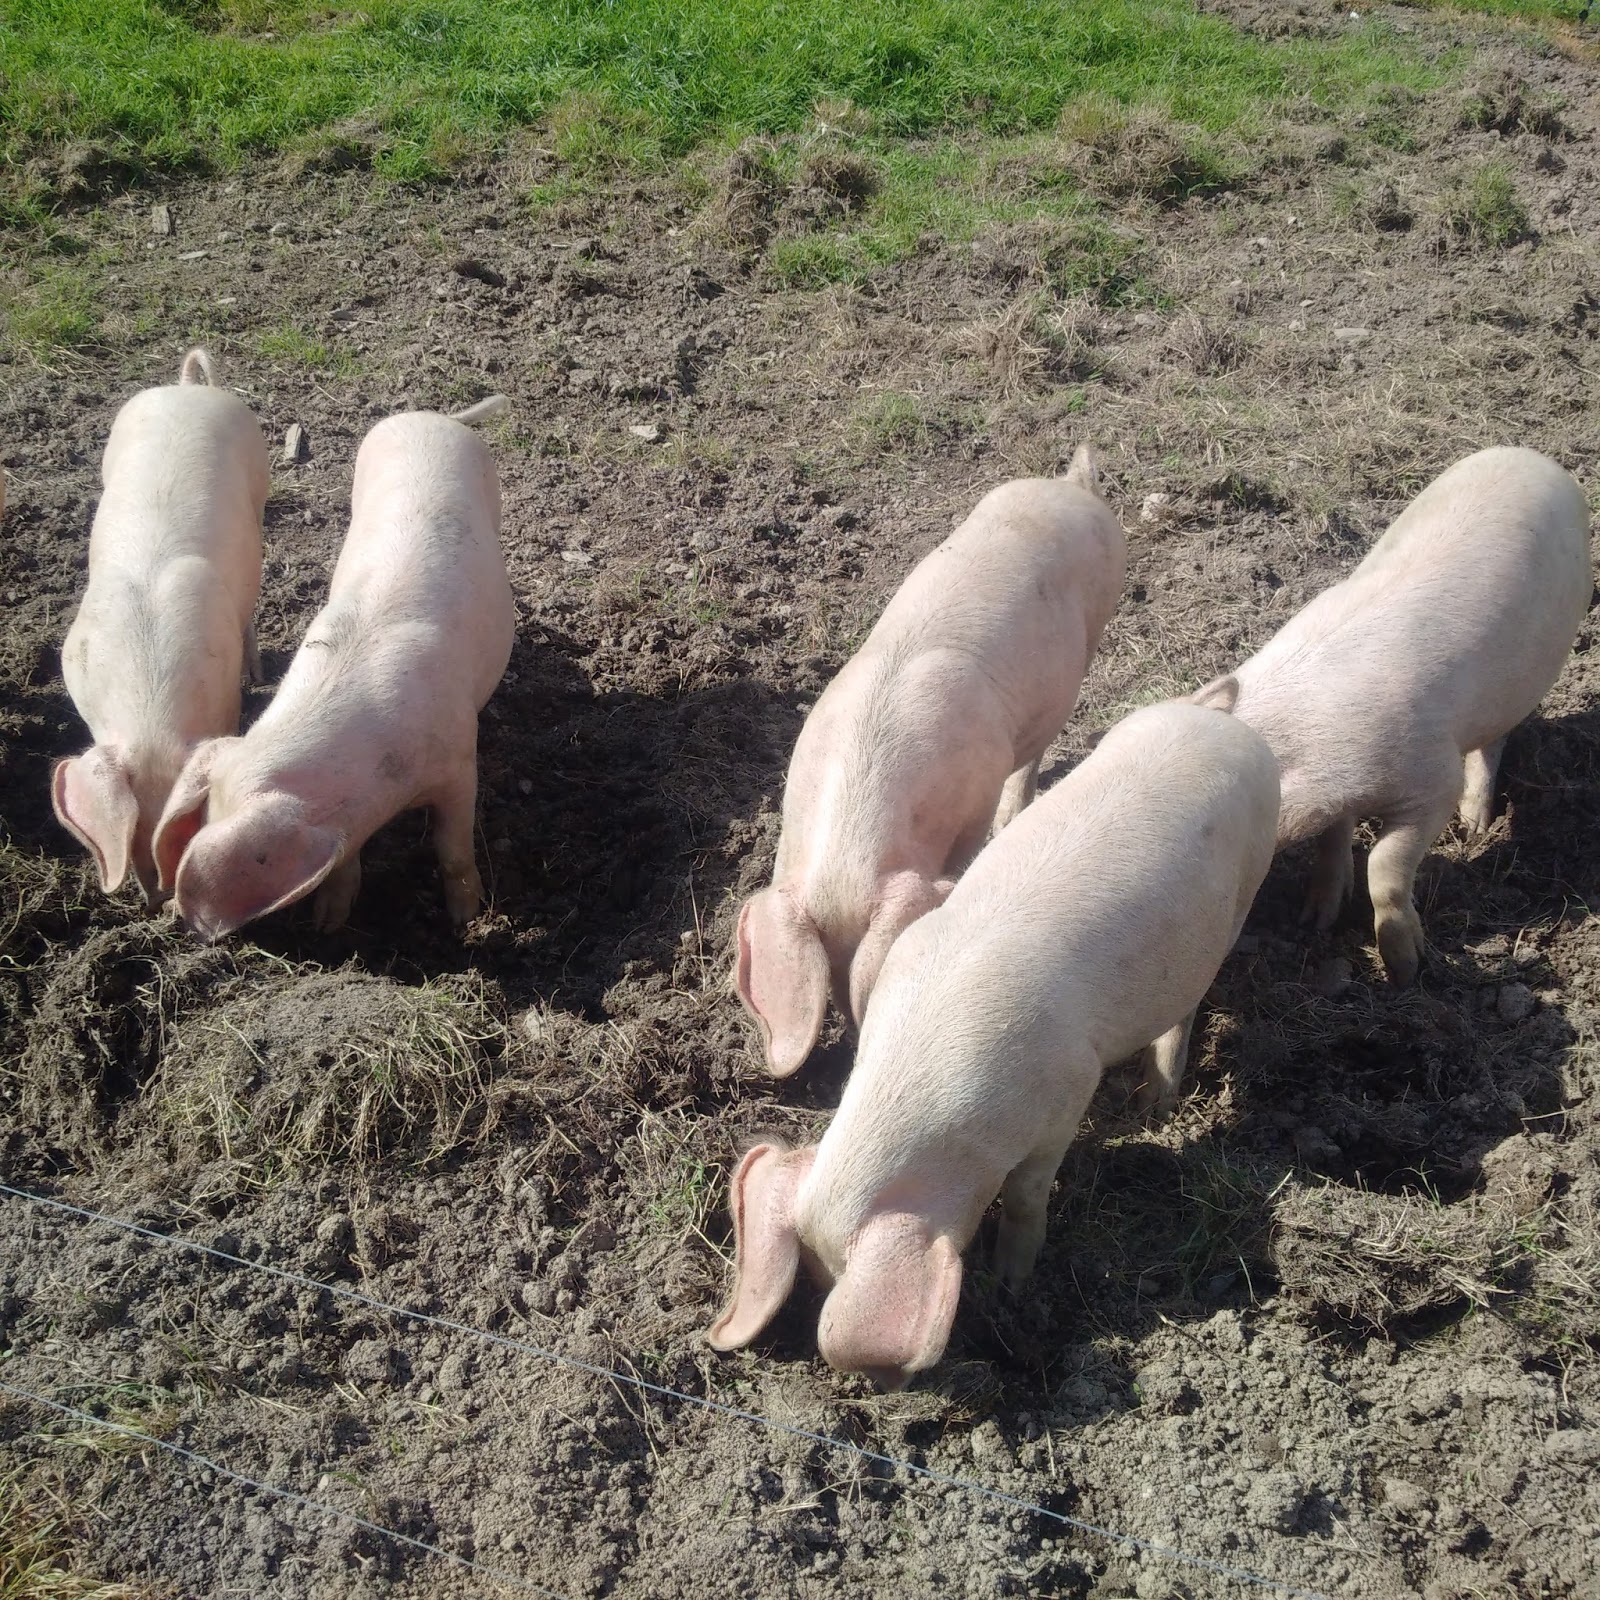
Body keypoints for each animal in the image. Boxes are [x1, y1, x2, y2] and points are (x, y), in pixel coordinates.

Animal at [151, 406, 516, 942]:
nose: (182, 927)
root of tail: (432, 415)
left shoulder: (459, 761)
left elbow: (453, 850)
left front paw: (466, 922)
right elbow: (344, 862)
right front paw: (329, 925)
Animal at [709, 700, 1279, 1386]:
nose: (885, 1389)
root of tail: (1228, 724)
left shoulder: (1068, 1090)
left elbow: (1028, 1196)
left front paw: (1012, 1285)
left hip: (1245, 888)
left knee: (1189, 1001)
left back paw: (1155, 1106)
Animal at [1192, 446, 1592, 986]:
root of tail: (1533, 457)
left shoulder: (1431, 778)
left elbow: (1385, 866)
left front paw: (1405, 970)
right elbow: (1333, 840)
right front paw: (1316, 921)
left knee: (1493, 743)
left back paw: (1475, 829)